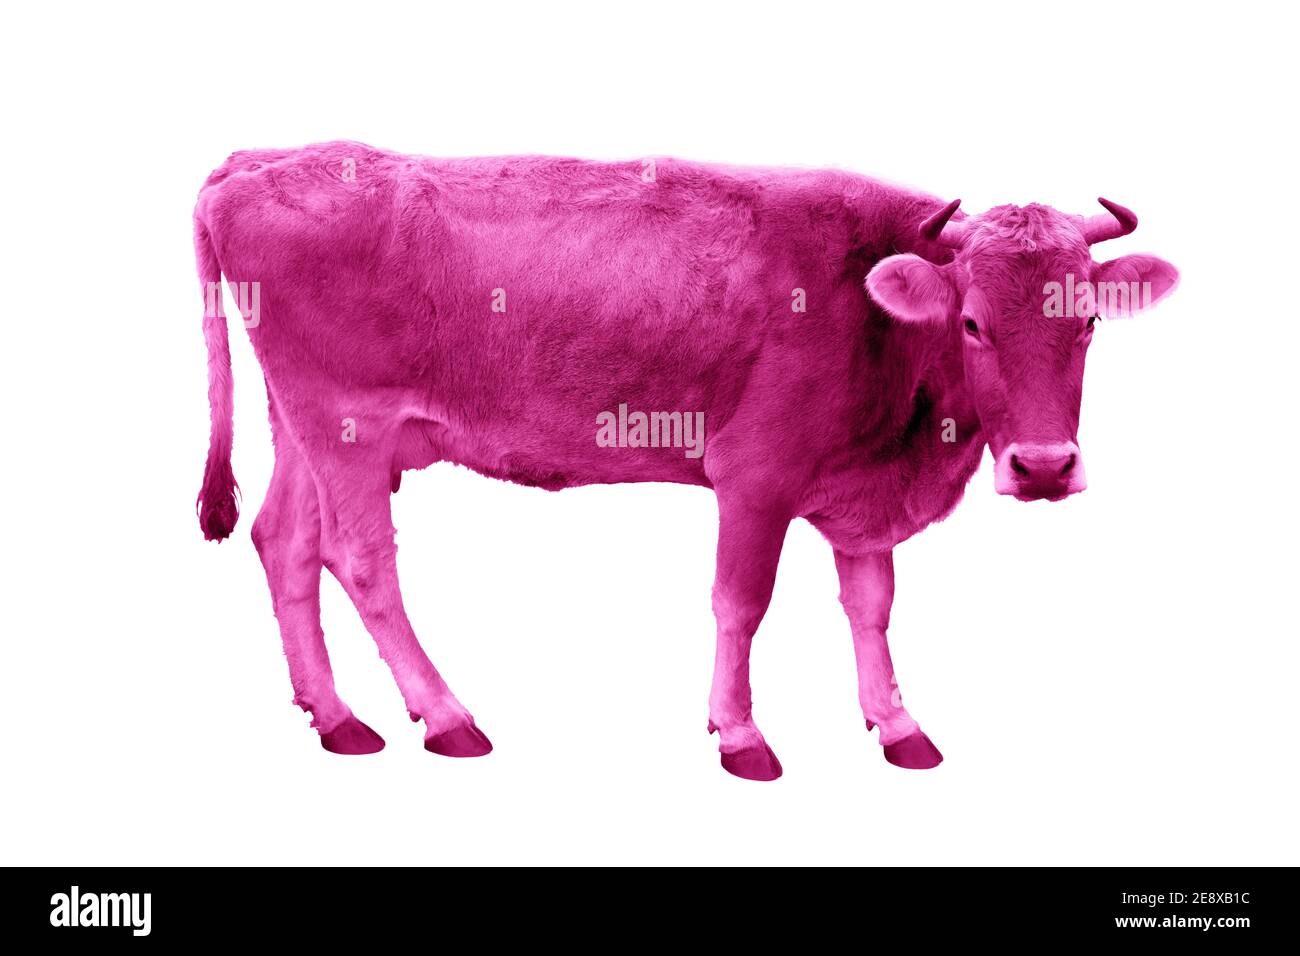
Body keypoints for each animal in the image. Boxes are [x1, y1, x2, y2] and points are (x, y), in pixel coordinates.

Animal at [194, 142, 1178, 780]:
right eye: (972, 322)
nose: (1044, 467)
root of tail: (263, 161)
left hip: (304, 425)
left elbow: (871, 604)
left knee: (285, 543)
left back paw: (336, 717)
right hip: (351, 427)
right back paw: (445, 716)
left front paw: (897, 722)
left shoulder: (860, 494)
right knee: (361, 561)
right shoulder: (754, 477)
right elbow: (741, 603)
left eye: (1087, 323)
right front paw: (740, 736)